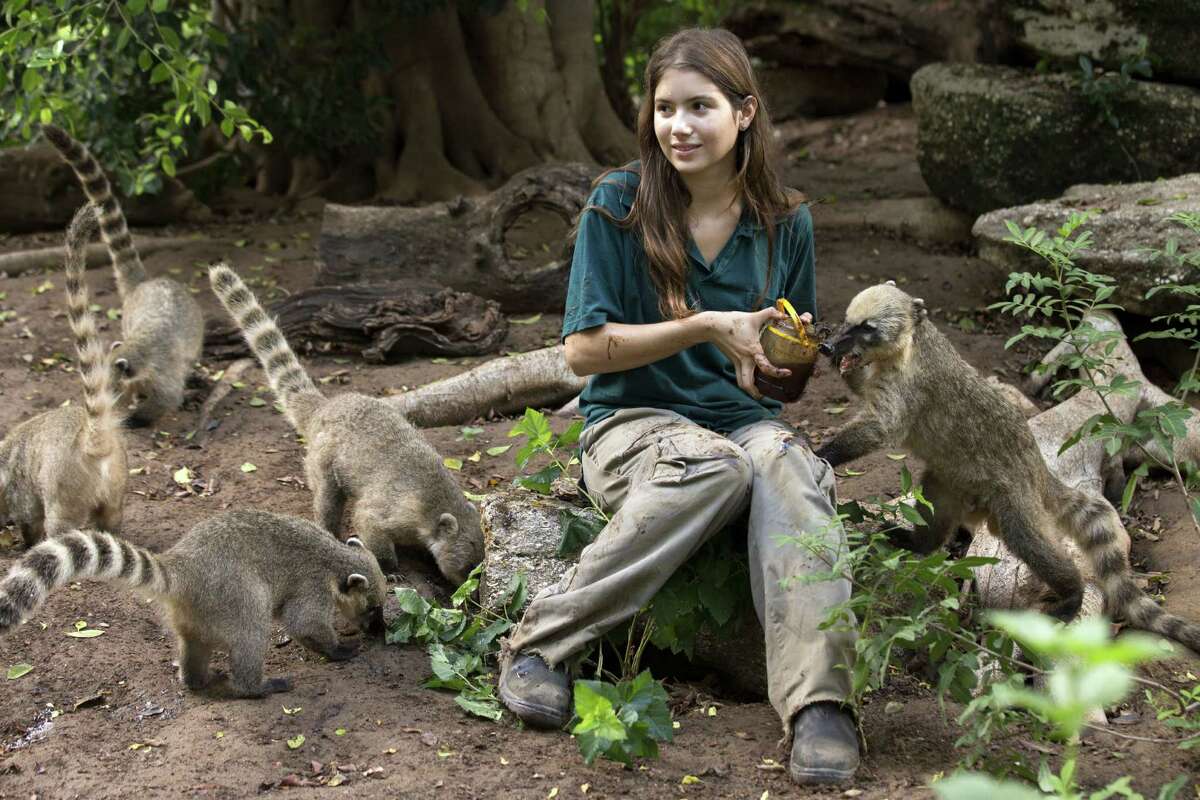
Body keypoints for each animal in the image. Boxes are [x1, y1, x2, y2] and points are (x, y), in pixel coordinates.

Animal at [0, 204, 126, 546]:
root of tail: (89, 438)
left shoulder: (18, 489)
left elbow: (29, 518)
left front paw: (27, 541)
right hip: (116, 482)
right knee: (111, 520)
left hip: (63, 489)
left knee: (59, 523)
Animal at [0, 510, 387, 698]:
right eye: (372, 608)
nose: (379, 633)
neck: (336, 557)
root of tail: (182, 564)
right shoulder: (312, 585)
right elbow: (304, 623)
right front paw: (337, 649)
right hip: (234, 595)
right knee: (252, 632)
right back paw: (254, 687)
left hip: (196, 612)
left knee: (193, 643)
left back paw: (195, 678)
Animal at [41, 124, 204, 427]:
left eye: (108, 387)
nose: (94, 403)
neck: (137, 349)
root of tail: (146, 282)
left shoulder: (162, 372)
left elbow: (167, 398)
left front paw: (134, 418)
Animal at [207, 263, 484, 586]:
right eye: (469, 569)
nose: (472, 595)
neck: (439, 502)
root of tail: (325, 407)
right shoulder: (396, 511)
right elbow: (368, 521)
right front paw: (390, 568)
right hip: (322, 461)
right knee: (327, 500)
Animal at [816, 281, 1200, 654]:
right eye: (848, 321)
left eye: (868, 328)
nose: (827, 345)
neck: (913, 339)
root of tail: (1038, 470)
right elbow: (865, 392)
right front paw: (841, 366)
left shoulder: (910, 384)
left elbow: (882, 428)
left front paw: (824, 451)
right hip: (949, 481)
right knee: (936, 510)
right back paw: (920, 542)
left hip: (1012, 494)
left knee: (1028, 540)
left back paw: (1072, 591)